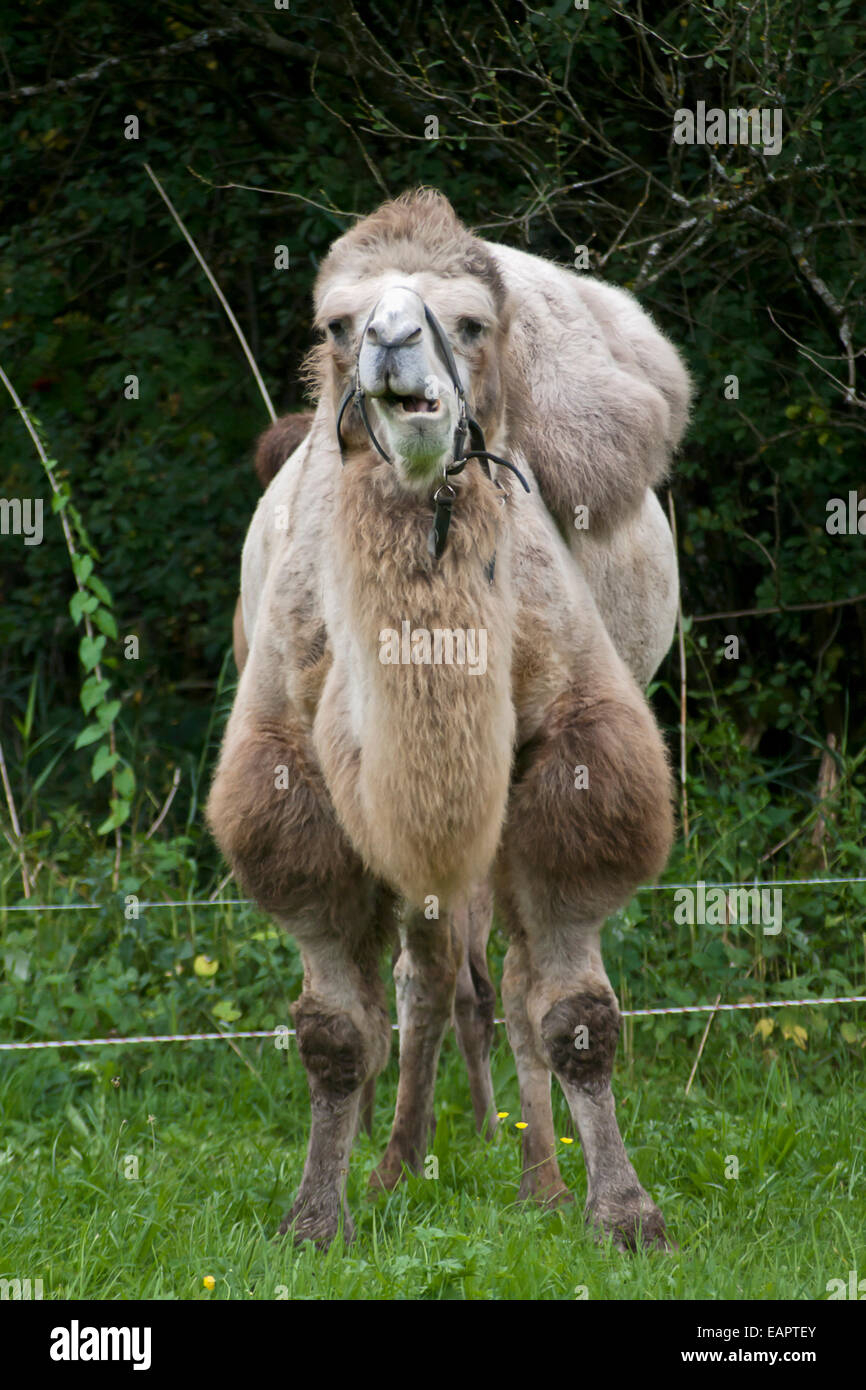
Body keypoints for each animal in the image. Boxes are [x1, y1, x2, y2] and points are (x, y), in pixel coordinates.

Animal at [207, 189, 691, 1253]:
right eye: (337, 324)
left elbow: (575, 1009)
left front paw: (623, 1212)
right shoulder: (290, 770)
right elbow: (335, 1028)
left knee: (503, 976)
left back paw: (537, 1177)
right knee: (429, 974)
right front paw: (318, 1218)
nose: (393, 347)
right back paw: (400, 1161)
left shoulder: (574, 752)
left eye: (470, 323)